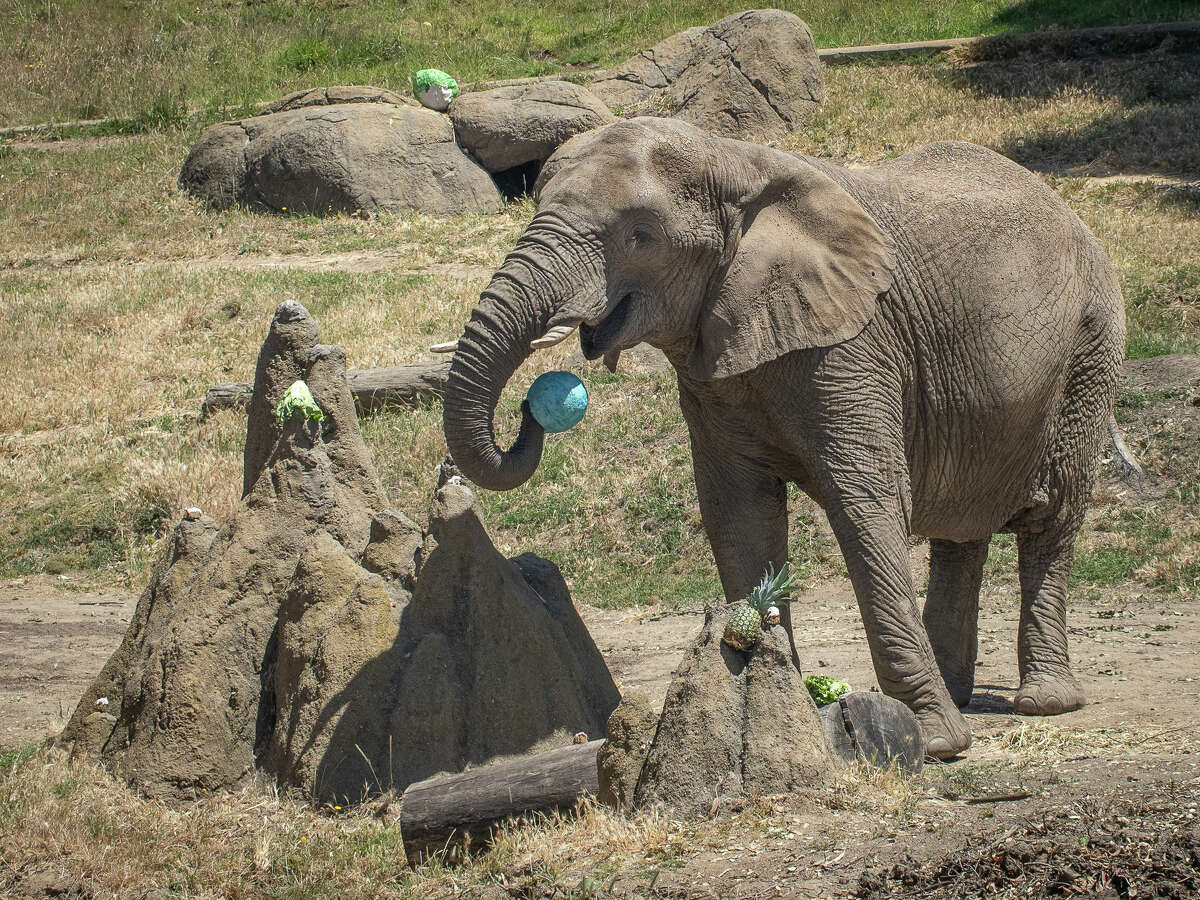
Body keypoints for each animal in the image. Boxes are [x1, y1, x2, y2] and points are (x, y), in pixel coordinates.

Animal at [436, 118, 1125, 758]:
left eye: (640, 237)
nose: (534, 407)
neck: (733, 160)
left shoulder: (854, 343)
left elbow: (866, 503)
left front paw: (932, 743)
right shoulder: (715, 364)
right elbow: (739, 513)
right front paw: (776, 703)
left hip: (1089, 348)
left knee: (1051, 518)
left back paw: (1042, 702)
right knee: (962, 530)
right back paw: (959, 691)